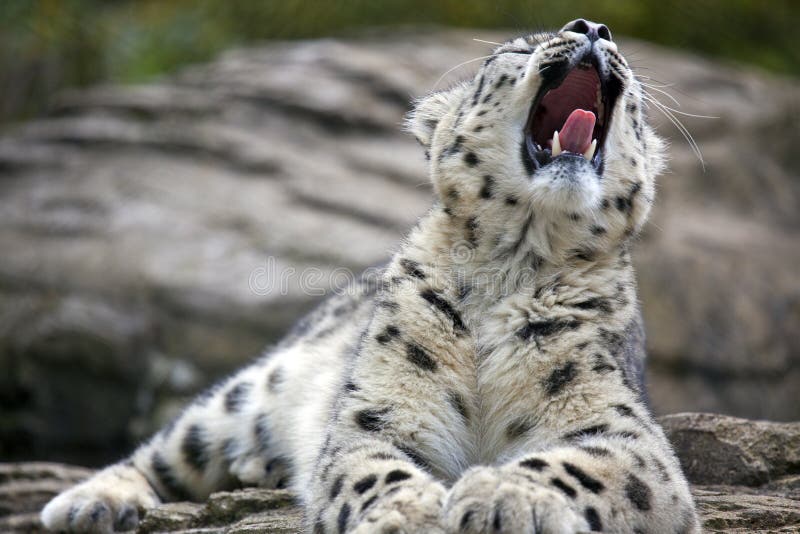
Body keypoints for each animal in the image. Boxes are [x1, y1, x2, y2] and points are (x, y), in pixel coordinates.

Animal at [42, 19, 700, 533]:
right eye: (516, 51)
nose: (593, 28)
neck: (512, 265)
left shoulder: (616, 423)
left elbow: (581, 466)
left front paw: (503, 493)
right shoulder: (378, 410)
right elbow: (369, 468)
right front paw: (410, 512)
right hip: (250, 390)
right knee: (170, 448)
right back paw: (88, 503)